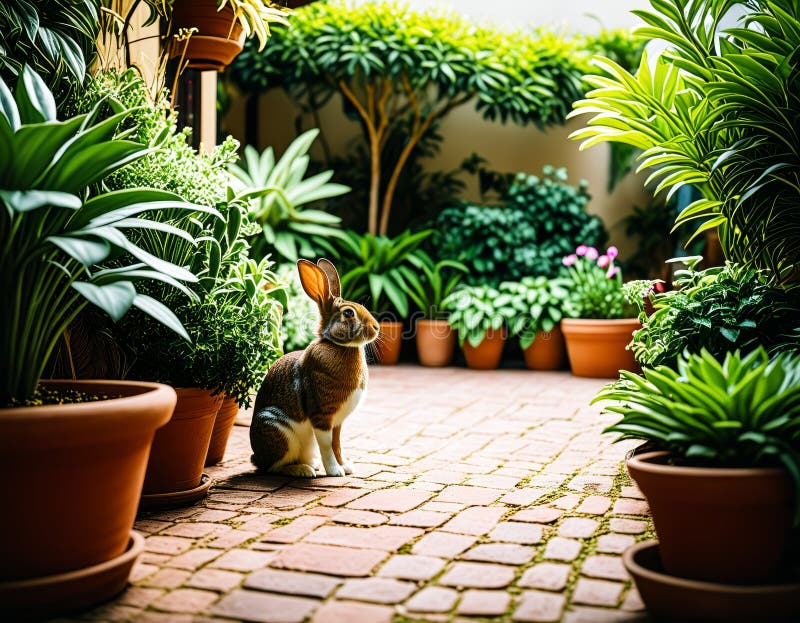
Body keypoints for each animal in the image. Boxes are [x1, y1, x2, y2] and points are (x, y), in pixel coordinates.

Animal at [250, 258, 380, 478]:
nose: (376, 327)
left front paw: (346, 467)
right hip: (279, 431)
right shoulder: (321, 416)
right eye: (348, 313)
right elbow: (327, 445)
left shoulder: (337, 423)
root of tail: (256, 457)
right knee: (273, 467)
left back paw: (312, 466)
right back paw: (302, 470)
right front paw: (335, 472)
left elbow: (337, 444)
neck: (338, 345)